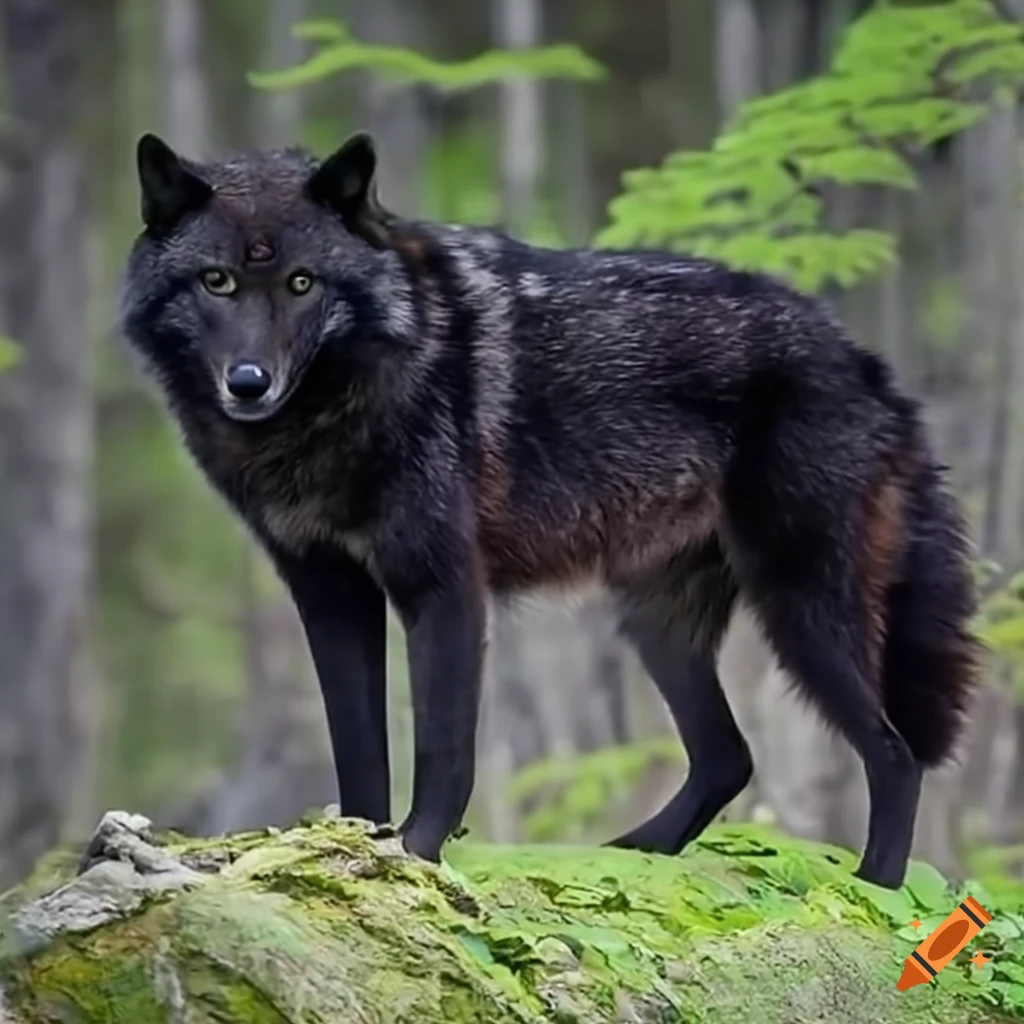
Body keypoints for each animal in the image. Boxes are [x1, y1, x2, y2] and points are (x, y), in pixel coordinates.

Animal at [120, 130, 981, 890]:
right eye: (217, 282)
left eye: (302, 283)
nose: (249, 381)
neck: (334, 407)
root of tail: (863, 359)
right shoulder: (330, 595)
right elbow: (358, 747)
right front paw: (350, 848)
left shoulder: (443, 588)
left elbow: (444, 751)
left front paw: (415, 855)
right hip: (657, 626)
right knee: (730, 757)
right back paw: (637, 851)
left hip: (801, 612)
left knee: (895, 754)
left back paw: (876, 891)